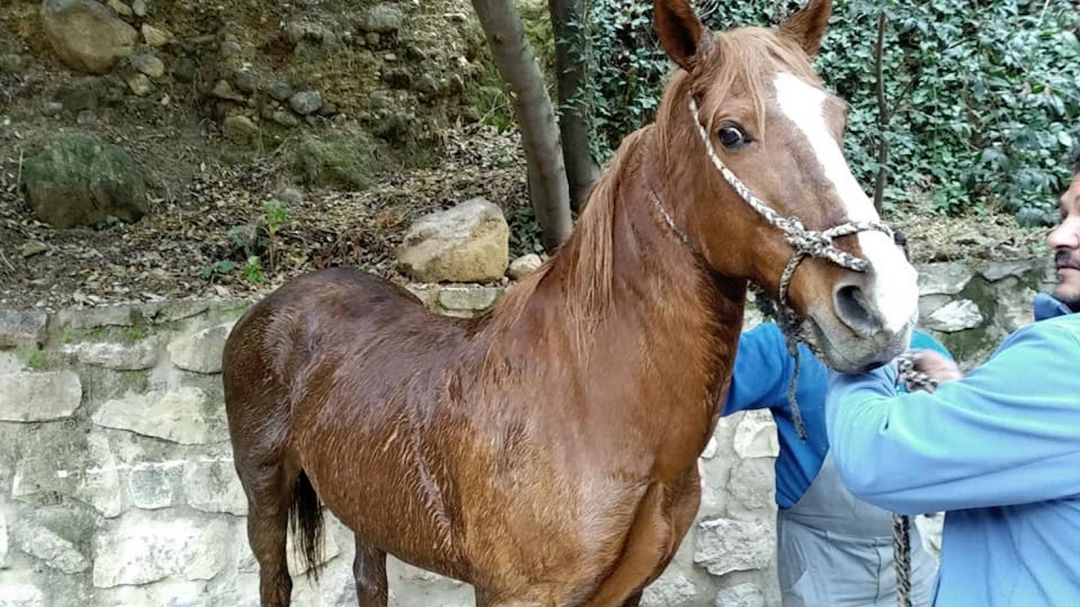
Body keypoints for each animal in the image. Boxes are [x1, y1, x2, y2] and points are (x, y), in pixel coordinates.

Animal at [222, 0, 919, 605]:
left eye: (838, 118)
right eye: (731, 132)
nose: (881, 303)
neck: (584, 401)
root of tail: (273, 306)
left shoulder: (624, 591)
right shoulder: (517, 595)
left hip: (367, 505)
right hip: (266, 493)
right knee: (274, 579)